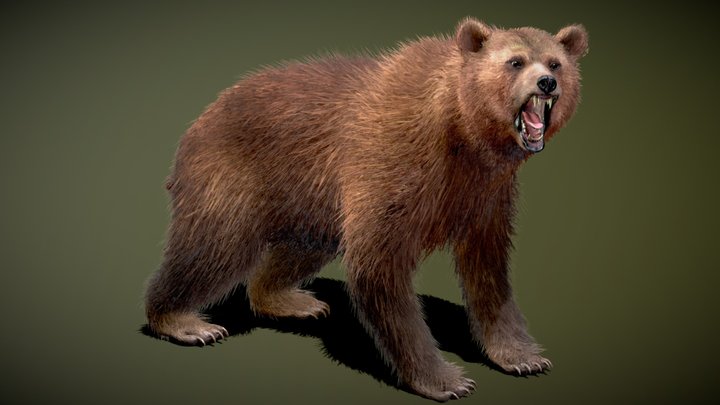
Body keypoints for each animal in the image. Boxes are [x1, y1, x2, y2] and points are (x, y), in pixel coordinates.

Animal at [144, 17, 588, 401]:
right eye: (515, 61)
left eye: (555, 62)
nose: (547, 83)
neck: (464, 134)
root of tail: (198, 123)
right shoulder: (394, 163)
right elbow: (379, 265)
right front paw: (445, 379)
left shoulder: (486, 193)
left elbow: (489, 271)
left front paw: (522, 356)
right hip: (235, 177)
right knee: (214, 247)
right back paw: (183, 321)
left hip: (313, 202)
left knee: (302, 248)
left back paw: (293, 300)